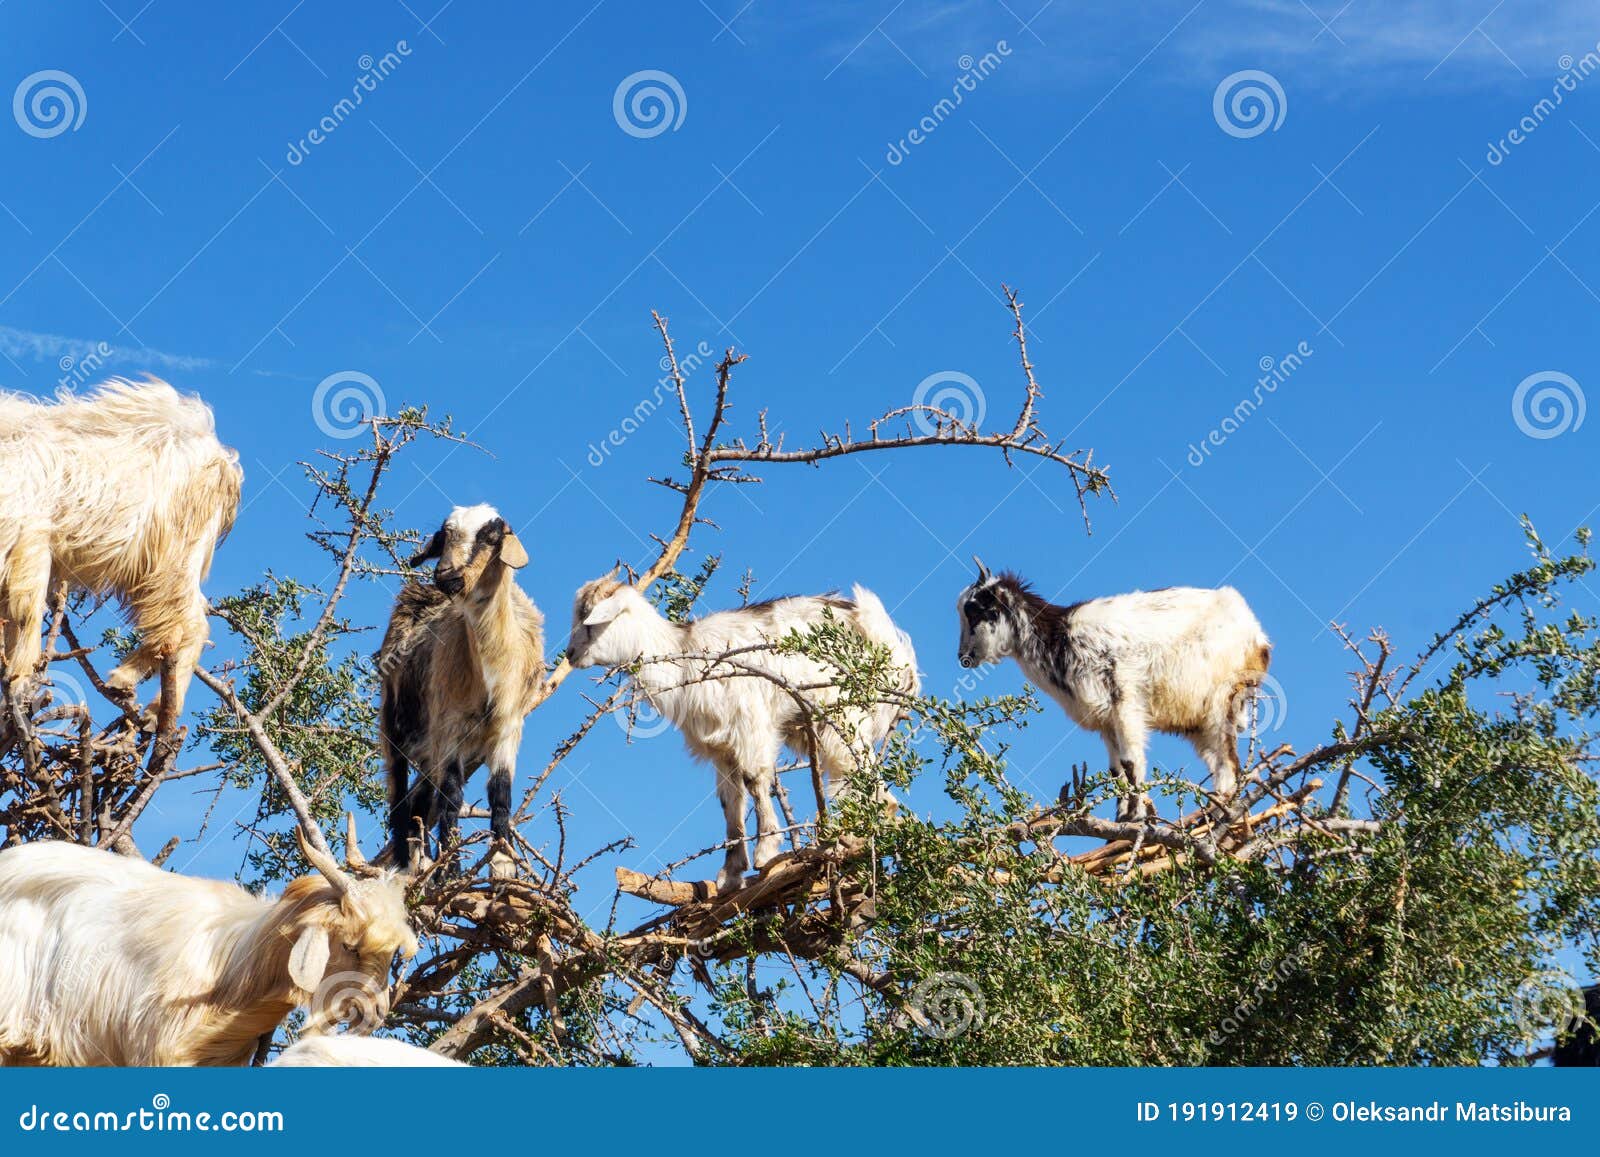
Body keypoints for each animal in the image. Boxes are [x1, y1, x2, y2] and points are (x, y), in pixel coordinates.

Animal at [0, 378, 241, 721]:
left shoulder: (30, 538)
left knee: (191, 621)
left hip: (172, 555)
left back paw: (151, 706)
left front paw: (20, 680)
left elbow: (25, 613)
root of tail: (225, 464)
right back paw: (127, 682)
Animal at [380, 504, 544, 877]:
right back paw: (405, 864)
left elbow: (501, 796)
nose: (445, 575)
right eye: (443, 537)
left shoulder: (508, 727)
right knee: (399, 799)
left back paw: (422, 856)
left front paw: (504, 866)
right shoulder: (450, 725)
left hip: (429, 749)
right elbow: (452, 796)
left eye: (490, 537)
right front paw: (450, 869)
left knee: (419, 803)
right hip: (394, 724)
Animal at [566, 574, 919, 891]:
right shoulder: (721, 746)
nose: (570, 654)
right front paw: (731, 874)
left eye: (589, 619)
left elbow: (755, 781)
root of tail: (889, 643)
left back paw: (849, 838)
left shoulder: (750, 724)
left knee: (860, 777)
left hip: (844, 716)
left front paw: (765, 853)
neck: (682, 656)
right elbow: (730, 801)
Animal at [955, 558, 1271, 820]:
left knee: (1229, 763)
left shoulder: (1125, 698)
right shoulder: (1105, 718)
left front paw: (1138, 817)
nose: (963, 657)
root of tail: (1256, 635)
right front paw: (1122, 816)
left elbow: (1132, 762)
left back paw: (1221, 813)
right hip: (1199, 721)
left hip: (1222, 700)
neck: (1061, 636)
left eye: (978, 611)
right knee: (1219, 762)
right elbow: (1116, 769)